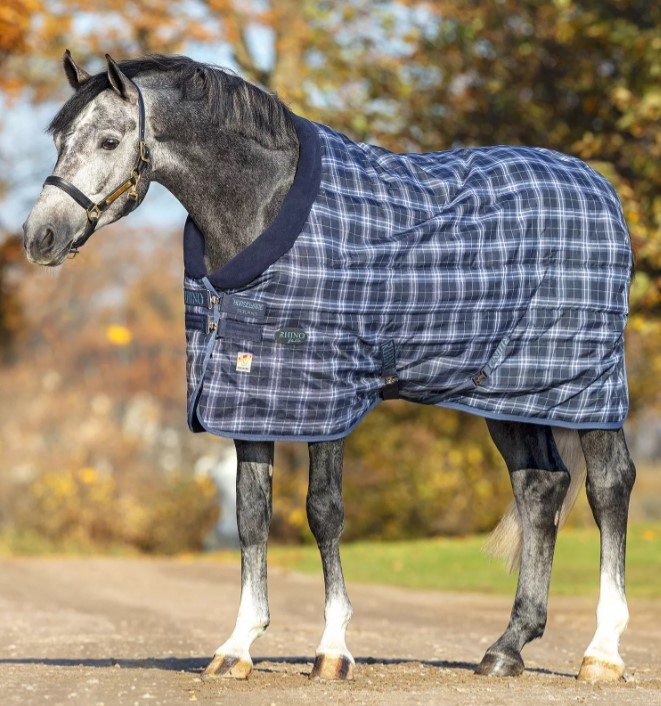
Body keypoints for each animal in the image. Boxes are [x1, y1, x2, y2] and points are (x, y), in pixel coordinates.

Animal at [22, 52, 636, 683]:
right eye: (59, 140)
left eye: (109, 139)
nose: (39, 237)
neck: (263, 205)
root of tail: (599, 189)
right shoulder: (253, 397)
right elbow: (251, 513)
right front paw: (237, 646)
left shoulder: (325, 399)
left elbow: (324, 511)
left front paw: (332, 648)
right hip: (508, 391)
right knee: (540, 487)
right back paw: (507, 648)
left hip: (588, 386)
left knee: (608, 486)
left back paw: (602, 653)